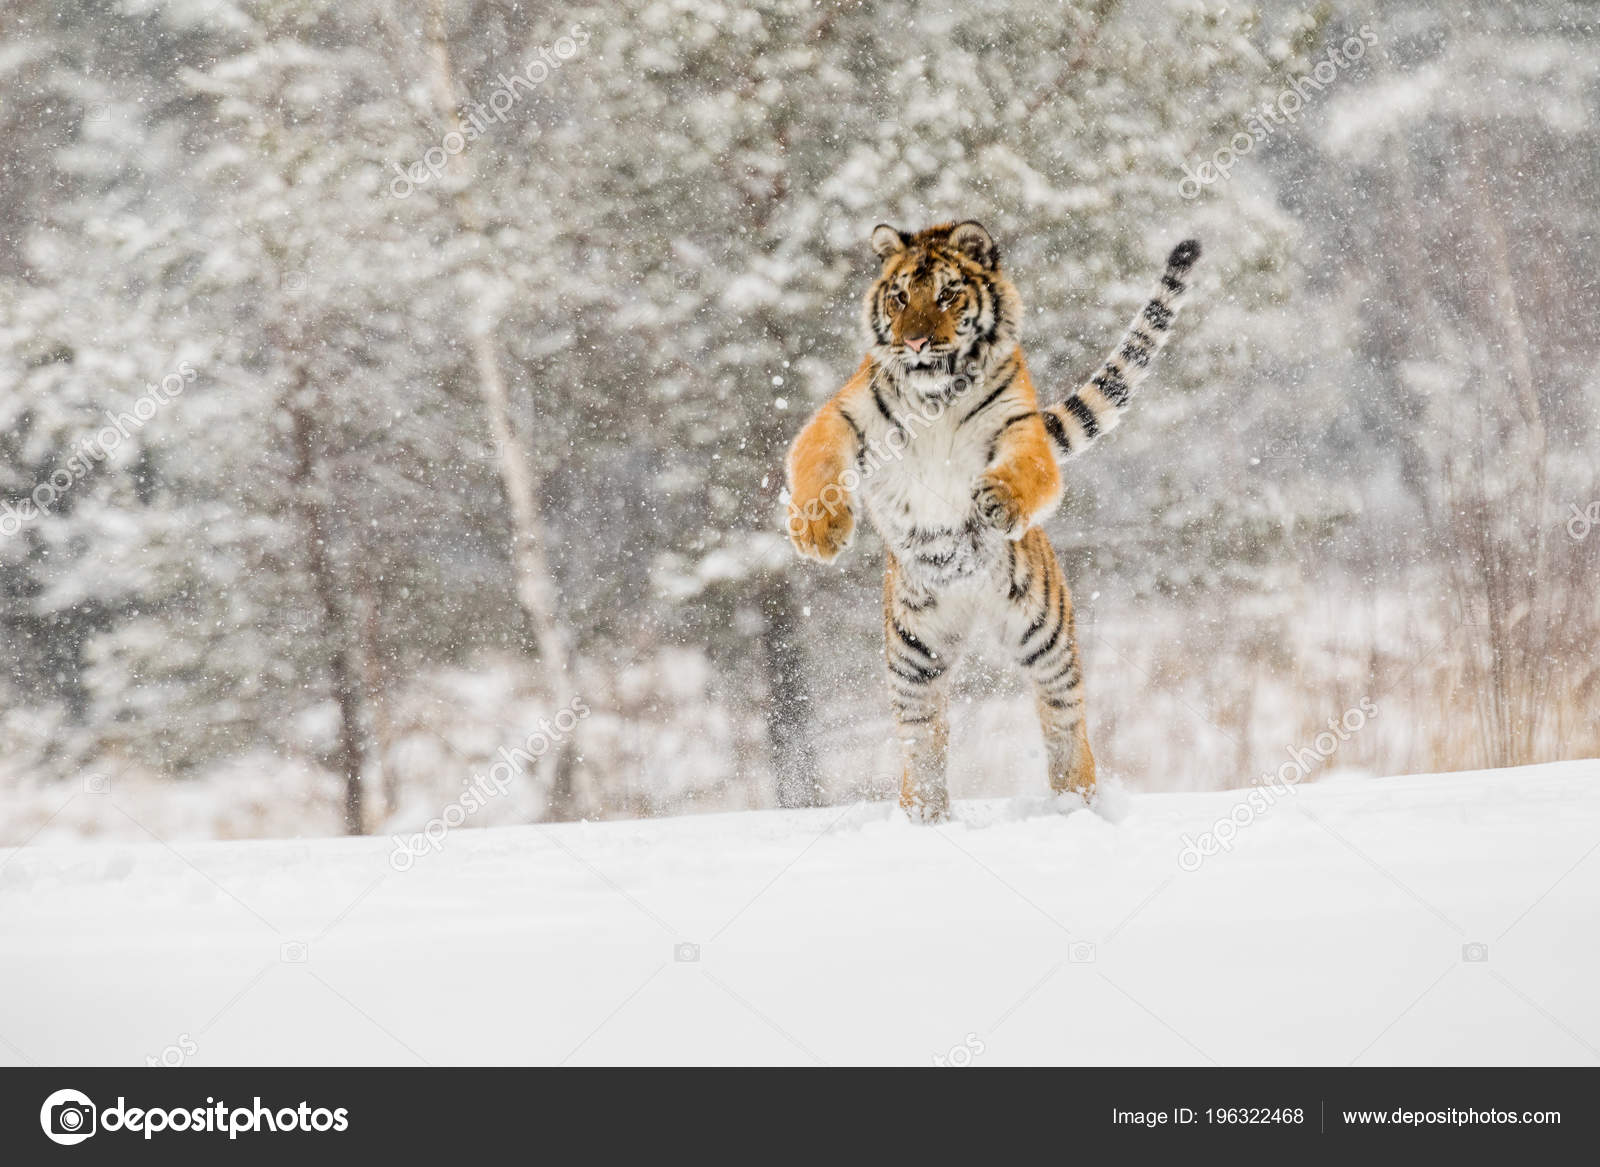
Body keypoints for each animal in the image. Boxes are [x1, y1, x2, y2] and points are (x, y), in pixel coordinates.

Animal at [784, 220, 1201, 821]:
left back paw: (1076, 808)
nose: (915, 342)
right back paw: (922, 820)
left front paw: (996, 502)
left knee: (1065, 725)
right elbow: (815, 460)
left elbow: (1025, 468)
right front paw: (819, 530)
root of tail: (971, 609)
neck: (935, 393)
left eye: (946, 296)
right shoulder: (846, 416)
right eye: (899, 297)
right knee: (923, 744)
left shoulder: (1019, 429)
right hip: (913, 658)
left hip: (1045, 635)